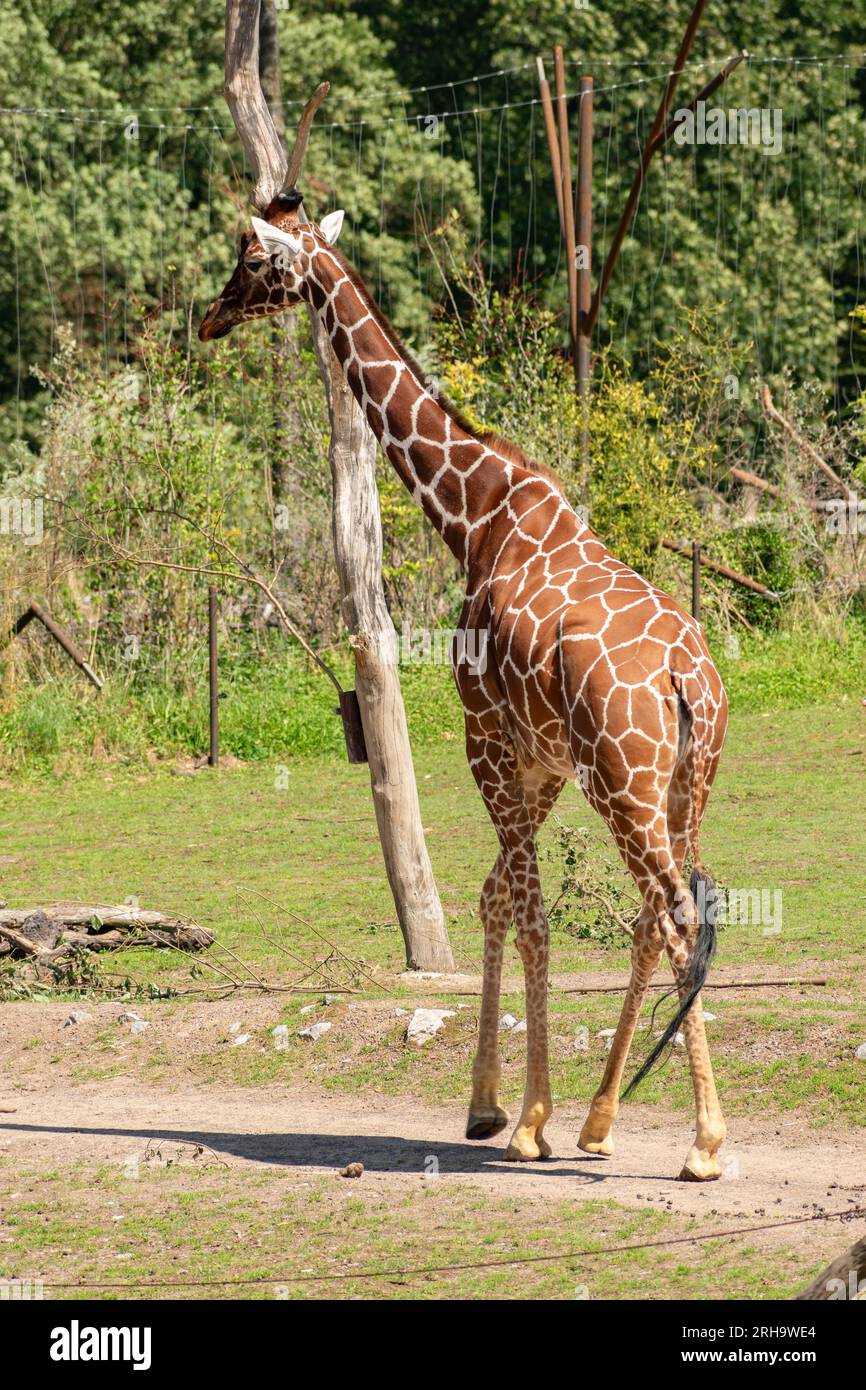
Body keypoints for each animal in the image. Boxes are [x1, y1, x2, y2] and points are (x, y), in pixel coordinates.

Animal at [199, 191, 729, 1180]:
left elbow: (529, 915)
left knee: (675, 916)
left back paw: (705, 1144)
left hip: (627, 785)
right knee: (659, 912)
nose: (206, 318)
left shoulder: (487, 737)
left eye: (251, 259)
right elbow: (495, 897)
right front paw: (492, 1108)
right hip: (682, 784)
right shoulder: (539, 759)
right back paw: (605, 1120)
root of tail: (688, 677)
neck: (473, 514)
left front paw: (528, 1120)